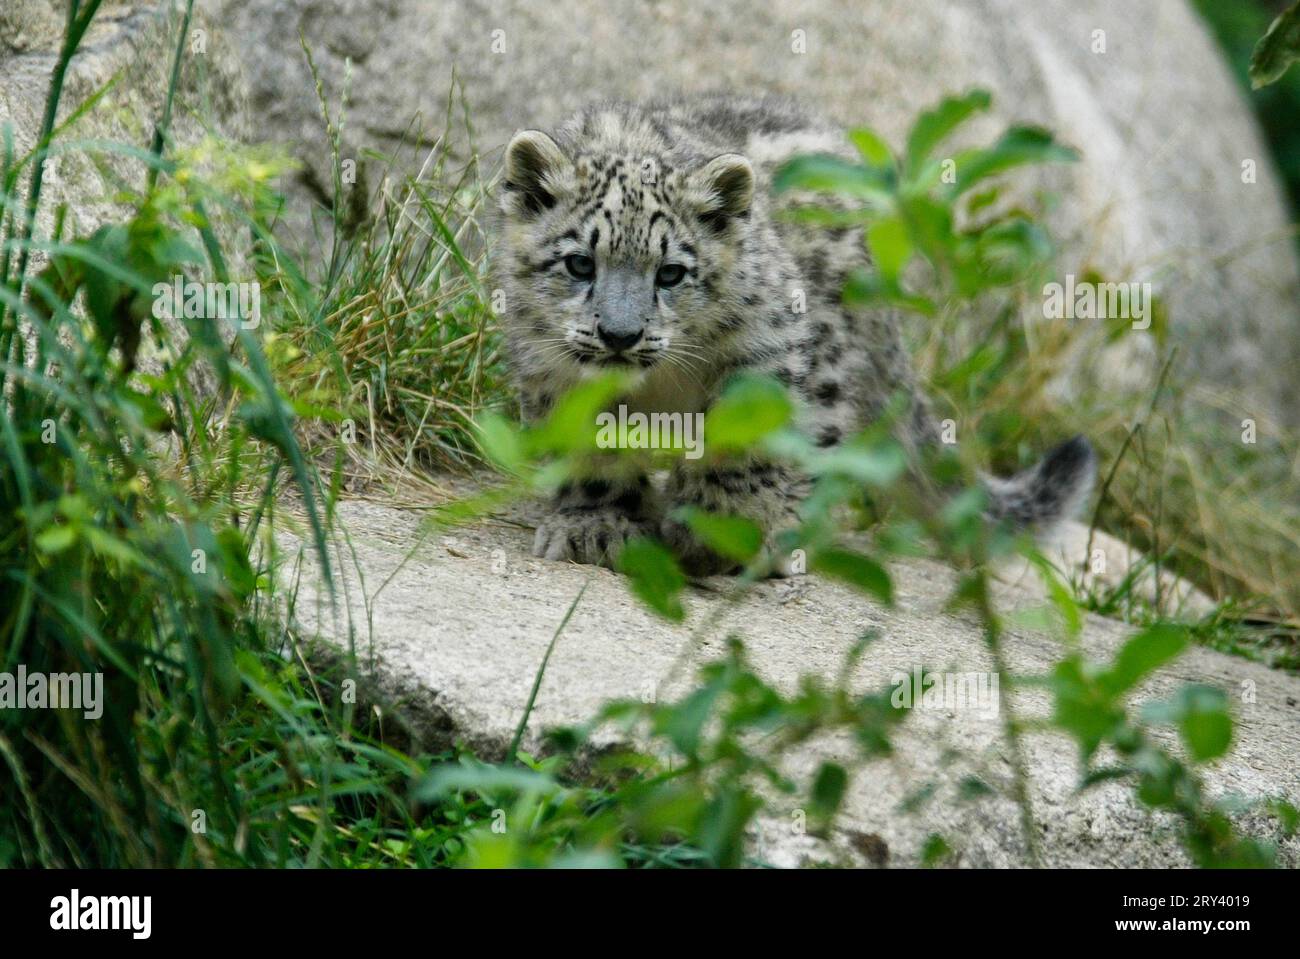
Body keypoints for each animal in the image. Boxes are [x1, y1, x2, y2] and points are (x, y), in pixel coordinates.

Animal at [491, 93, 1095, 576]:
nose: (620, 334)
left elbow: (746, 443)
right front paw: (598, 524)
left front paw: (717, 527)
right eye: (579, 263)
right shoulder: (553, 370)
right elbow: (591, 450)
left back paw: (781, 535)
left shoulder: (761, 345)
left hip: (828, 360)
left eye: (670, 273)